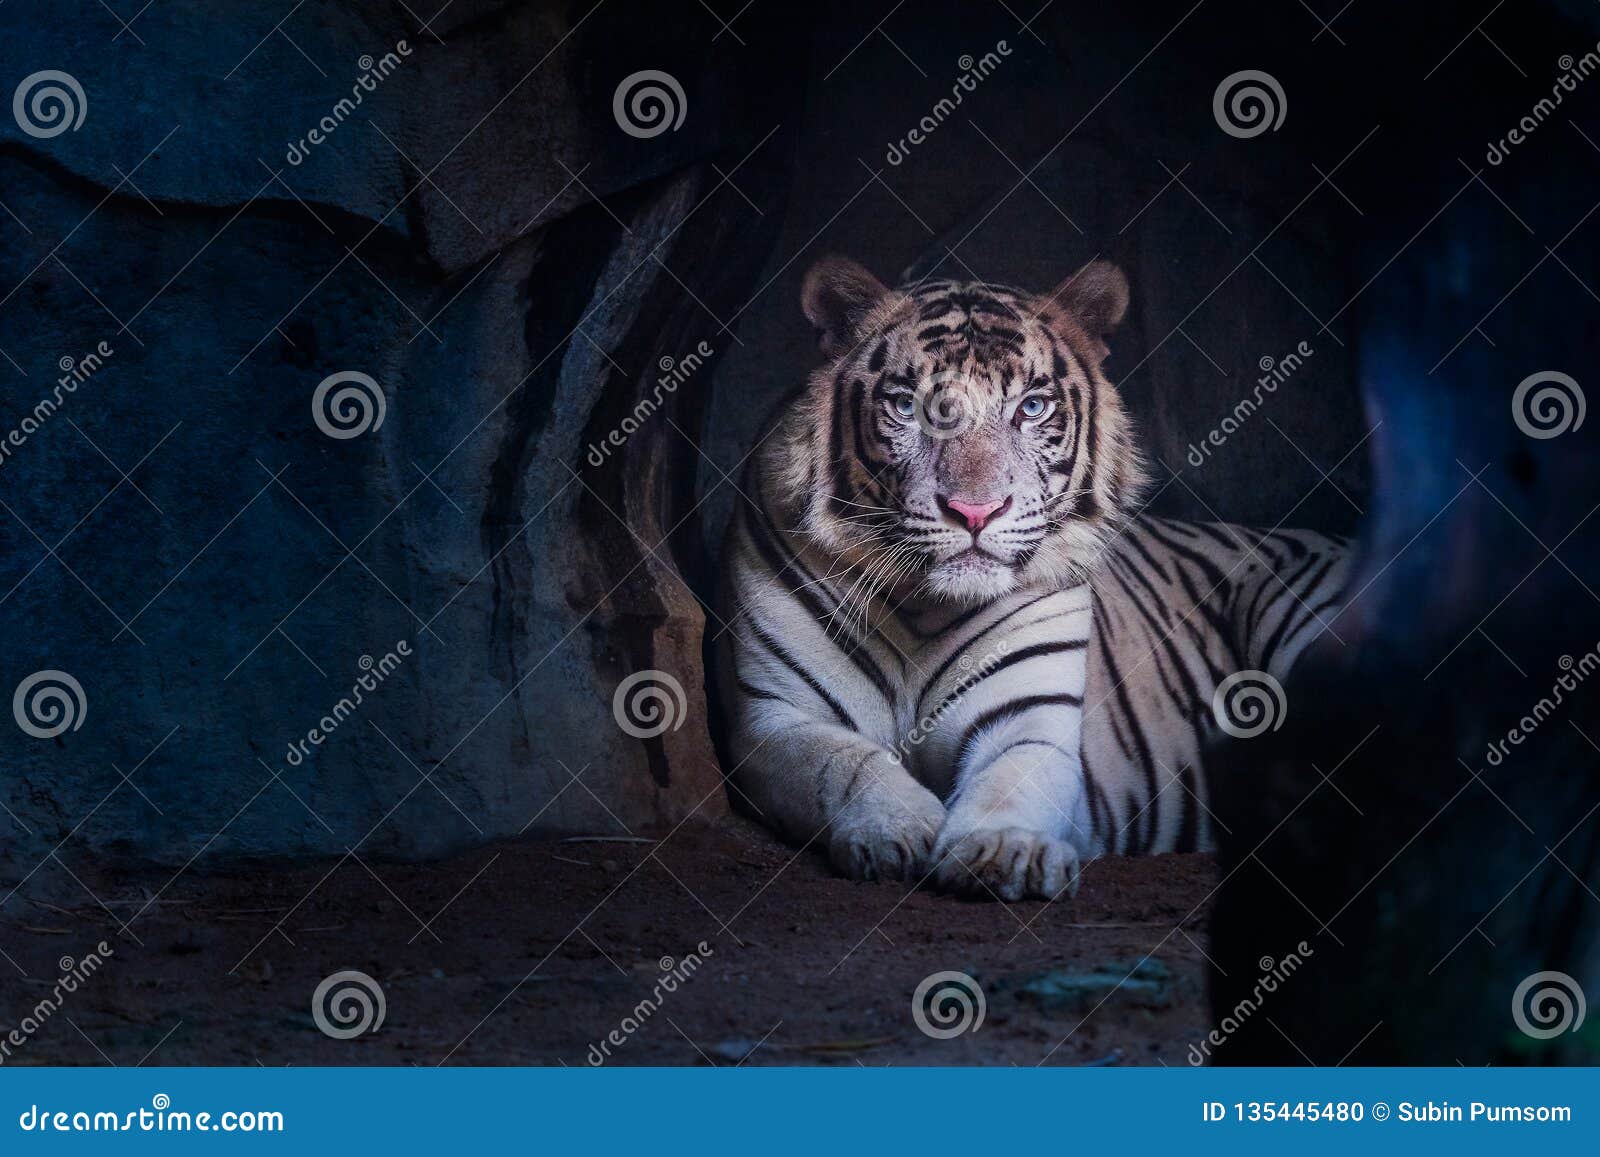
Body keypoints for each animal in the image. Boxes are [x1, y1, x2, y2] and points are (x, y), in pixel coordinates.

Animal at [713, 255, 1350, 902]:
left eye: (1032, 408)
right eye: (910, 407)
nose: (975, 511)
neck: (923, 608)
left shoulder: (1029, 712)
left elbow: (1013, 779)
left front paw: (1003, 850)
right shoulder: (774, 718)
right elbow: (842, 764)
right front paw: (899, 826)